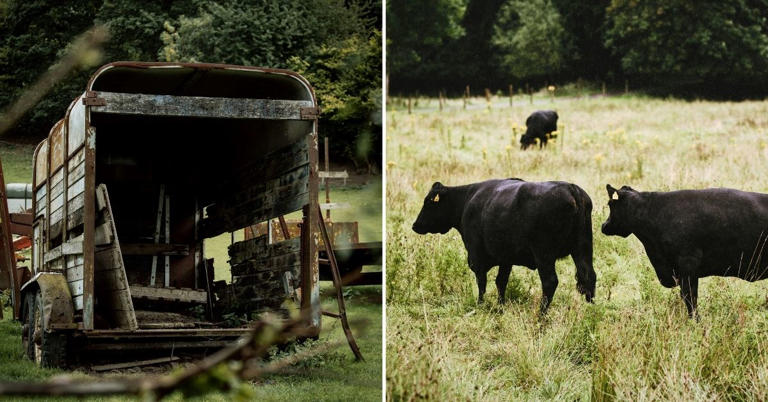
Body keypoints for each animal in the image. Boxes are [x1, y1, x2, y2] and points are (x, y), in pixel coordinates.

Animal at [412, 178, 596, 313]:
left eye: (429, 202)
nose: (415, 225)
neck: (466, 201)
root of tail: (571, 188)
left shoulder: (476, 256)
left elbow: (482, 282)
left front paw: (480, 304)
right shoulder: (506, 259)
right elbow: (501, 281)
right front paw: (500, 306)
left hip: (544, 254)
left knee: (550, 282)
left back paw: (541, 315)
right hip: (583, 249)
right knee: (589, 276)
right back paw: (591, 309)